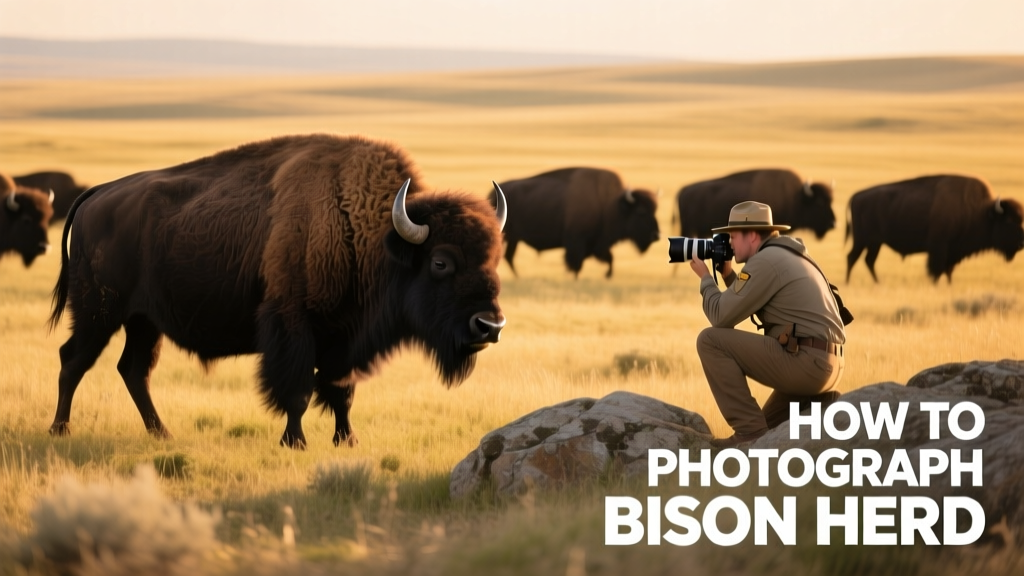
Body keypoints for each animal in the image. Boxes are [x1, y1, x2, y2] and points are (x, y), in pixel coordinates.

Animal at [48, 134, 508, 449]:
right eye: (440, 262)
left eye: (493, 257)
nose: (490, 326)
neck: (368, 234)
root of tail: (97, 194)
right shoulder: (294, 328)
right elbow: (298, 392)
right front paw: (295, 442)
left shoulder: (344, 339)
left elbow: (342, 392)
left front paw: (347, 440)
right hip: (98, 314)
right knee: (73, 360)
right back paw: (60, 429)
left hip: (143, 321)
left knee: (133, 369)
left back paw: (162, 434)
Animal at [491, 167, 659, 278]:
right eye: (641, 212)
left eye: (655, 210)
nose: (656, 235)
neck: (610, 205)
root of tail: (492, 194)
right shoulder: (576, 242)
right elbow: (576, 264)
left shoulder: (597, 245)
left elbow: (609, 258)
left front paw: (607, 276)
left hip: (513, 239)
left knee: (509, 257)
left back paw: (517, 277)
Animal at [674, 168, 836, 239]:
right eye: (819, 203)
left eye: (831, 201)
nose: (834, 223)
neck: (796, 197)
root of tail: (683, 191)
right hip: (688, 229)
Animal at [845, 175, 1024, 283]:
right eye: (1009, 221)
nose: (1021, 243)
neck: (981, 212)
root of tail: (856, 196)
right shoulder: (939, 249)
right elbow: (936, 270)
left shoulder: (952, 252)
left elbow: (948, 270)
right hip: (863, 240)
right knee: (853, 258)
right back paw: (849, 283)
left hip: (874, 243)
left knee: (868, 261)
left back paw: (878, 283)